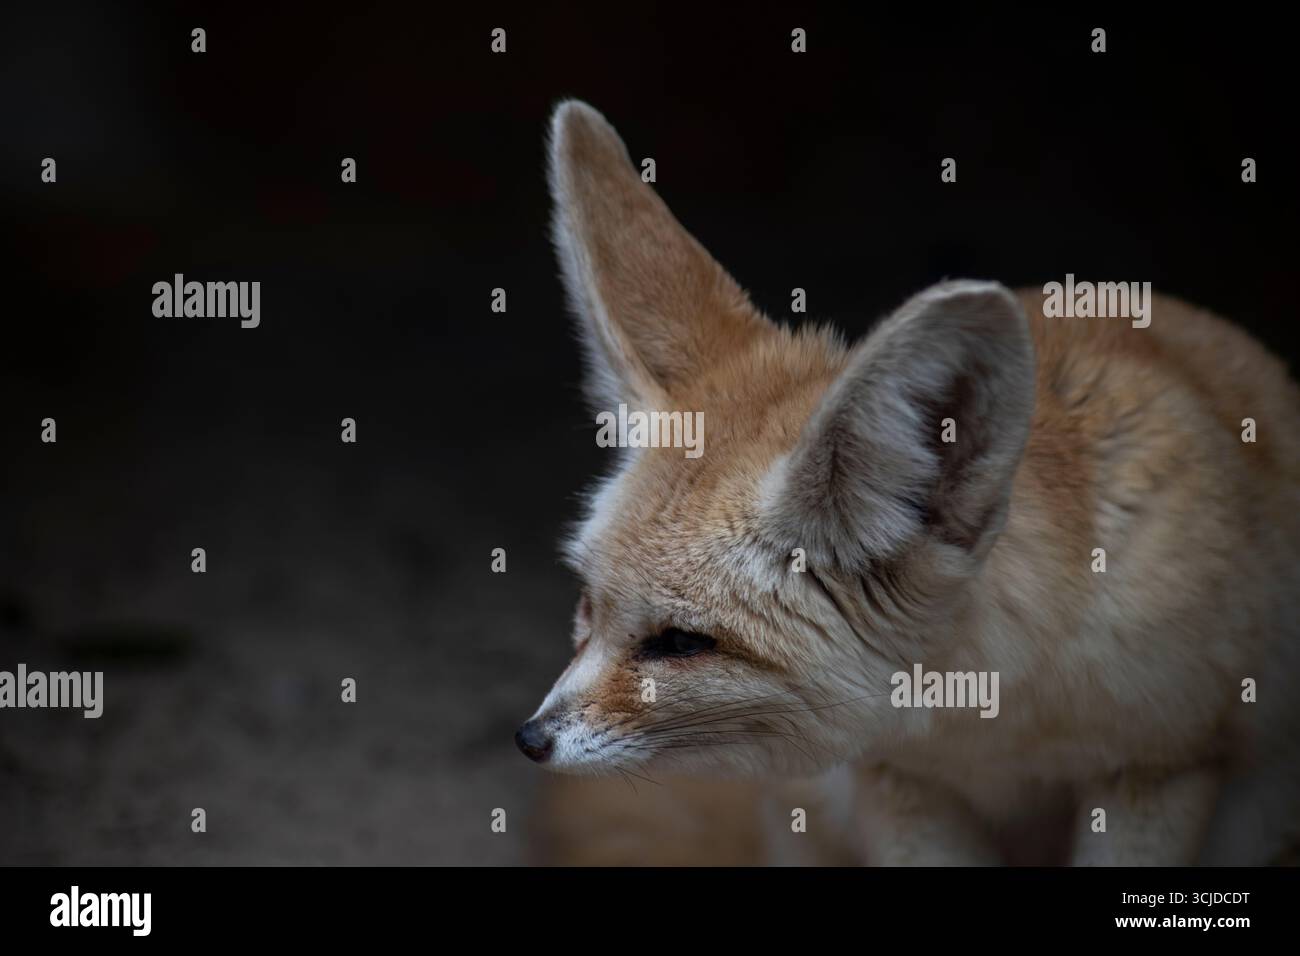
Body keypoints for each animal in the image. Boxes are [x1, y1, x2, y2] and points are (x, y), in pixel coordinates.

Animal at [517, 99, 1300, 865]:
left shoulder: (1162, 769)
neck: (989, 721)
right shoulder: (900, 787)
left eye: (681, 643)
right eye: (588, 604)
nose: (530, 739)